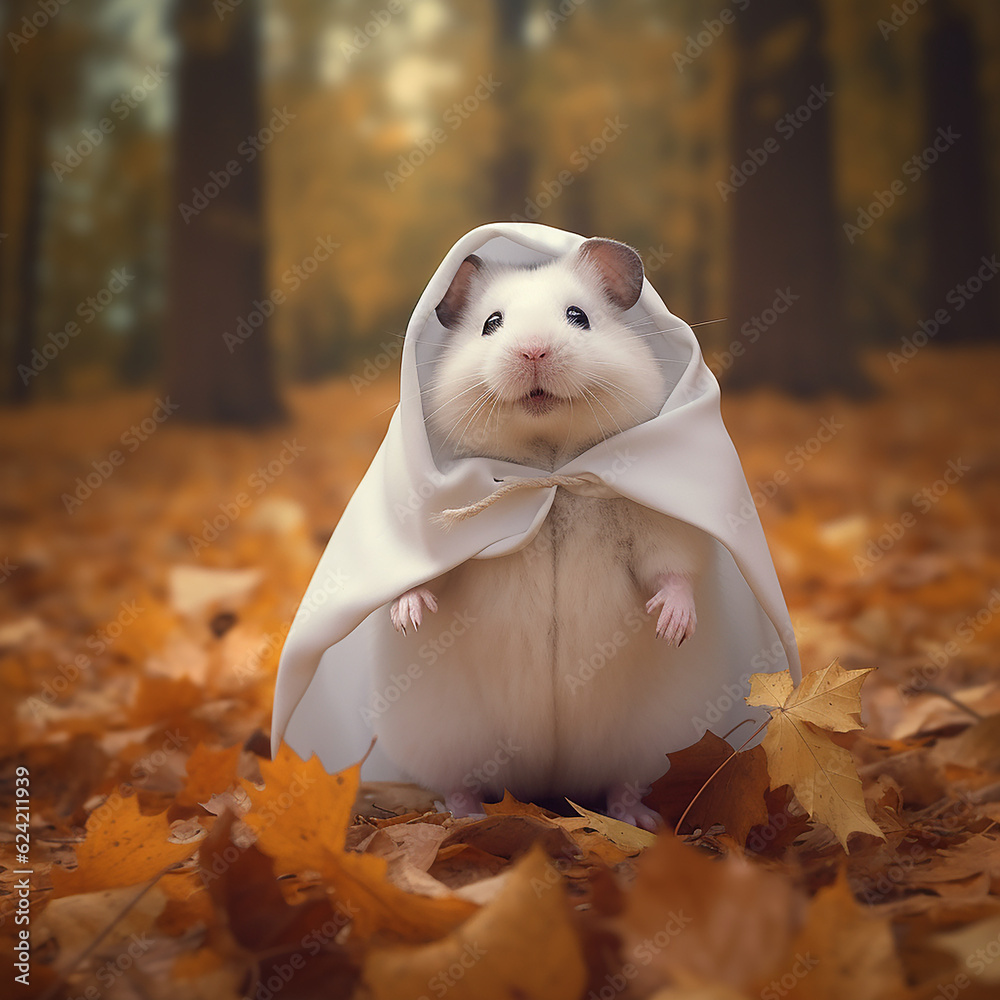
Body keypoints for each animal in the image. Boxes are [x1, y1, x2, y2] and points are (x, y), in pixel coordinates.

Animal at [377, 238, 703, 830]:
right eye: (491, 323)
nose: (533, 352)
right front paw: (410, 617)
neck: (549, 467)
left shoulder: (654, 523)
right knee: (458, 782)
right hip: (441, 735)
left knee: (623, 782)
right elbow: (426, 576)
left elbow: (670, 568)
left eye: (579, 317)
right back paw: (465, 816)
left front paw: (673, 626)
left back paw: (639, 819)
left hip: (650, 737)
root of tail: (546, 785)